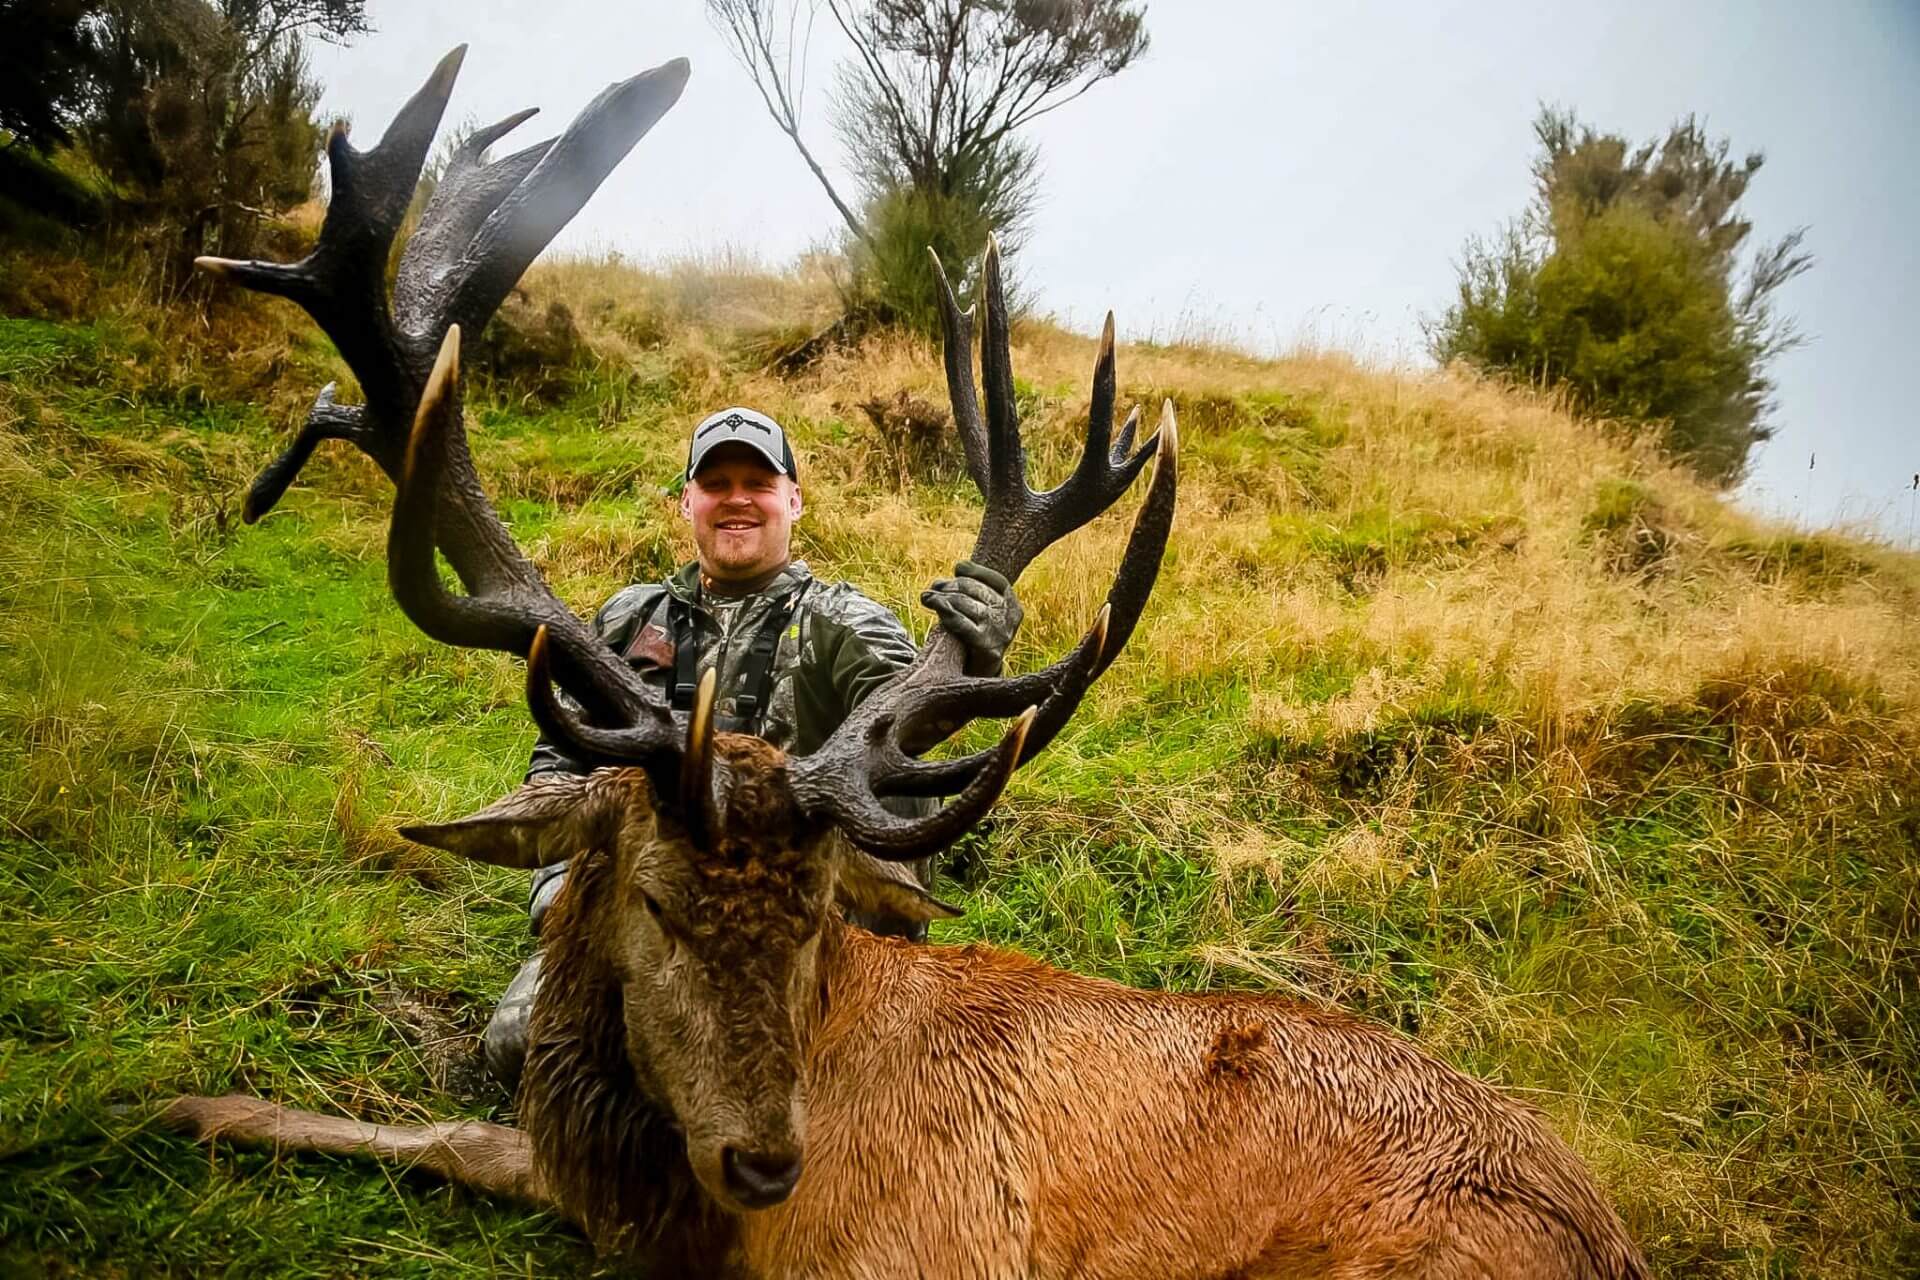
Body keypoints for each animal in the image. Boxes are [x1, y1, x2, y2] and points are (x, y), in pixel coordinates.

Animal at [160, 44, 1649, 1280]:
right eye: (653, 897)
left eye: (822, 912)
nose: (768, 1160)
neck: (698, 1223)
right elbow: (448, 1135)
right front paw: (189, 1096)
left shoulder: (910, 1247)